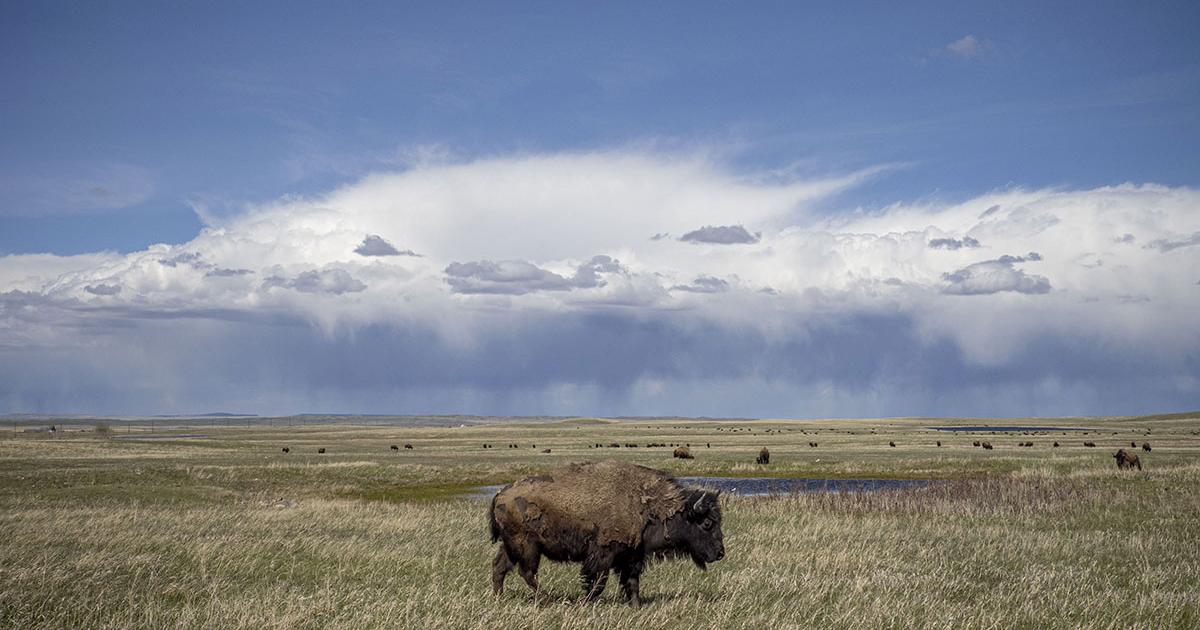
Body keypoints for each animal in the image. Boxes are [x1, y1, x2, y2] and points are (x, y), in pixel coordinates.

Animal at [489, 461, 724, 607]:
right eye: (707, 523)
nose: (720, 552)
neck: (649, 507)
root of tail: (501, 493)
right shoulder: (602, 555)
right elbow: (597, 583)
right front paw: (584, 603)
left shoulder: (632, 556)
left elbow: (632, 583)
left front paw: (636, 607)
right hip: (528, 546)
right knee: (527, 572)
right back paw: (548, 600)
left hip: (511, 546)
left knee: (500, 567)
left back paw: (499, 598)